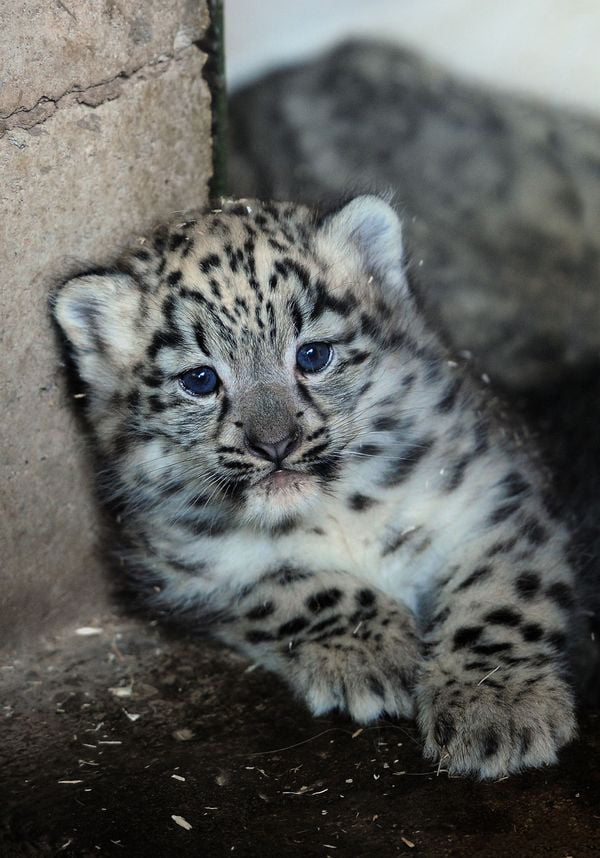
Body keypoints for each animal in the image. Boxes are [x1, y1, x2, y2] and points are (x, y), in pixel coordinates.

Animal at [53, 194, 578, 779]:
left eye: (313, 354)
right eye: (200, 380)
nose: (275, 443)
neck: (336, 514)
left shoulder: (495, 498)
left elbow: (500, 597)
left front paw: (496, 708)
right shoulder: (186, 567)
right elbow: (292, 587)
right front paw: (375, 654)